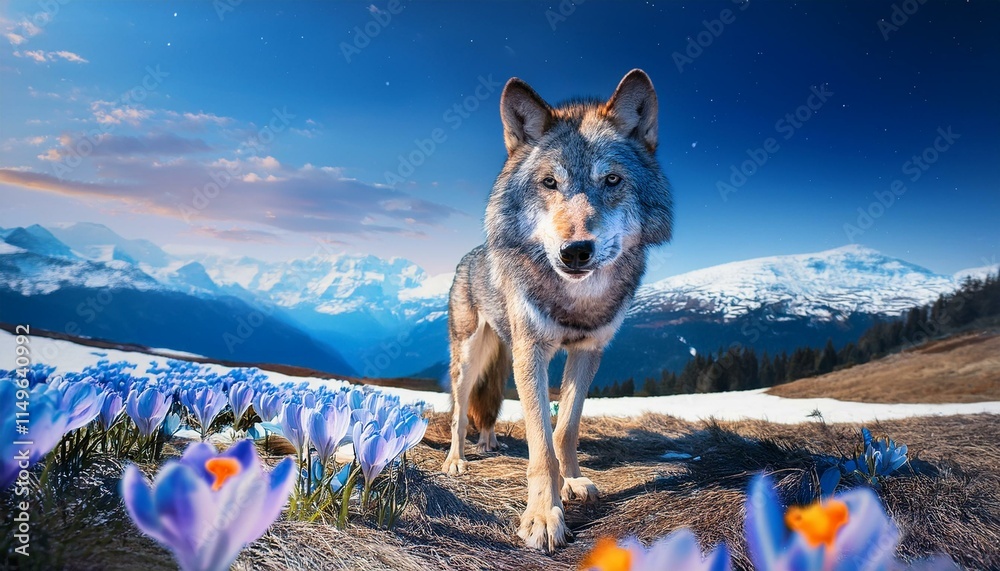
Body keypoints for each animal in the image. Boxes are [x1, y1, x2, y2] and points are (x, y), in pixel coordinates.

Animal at [442, 69, 673, 552]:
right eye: (550, 183)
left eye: (612, 181)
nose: (575, 251)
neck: (576, 299)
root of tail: (468, 256)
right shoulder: (532, 353)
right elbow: (540, 445)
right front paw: (543, 517)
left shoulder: (588, 351)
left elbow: (565, 428)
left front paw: (574, 482)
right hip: (470, 356)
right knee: (458, 411)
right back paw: (457, 460)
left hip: (501, 358)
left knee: (487, 409)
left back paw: (489, 444)